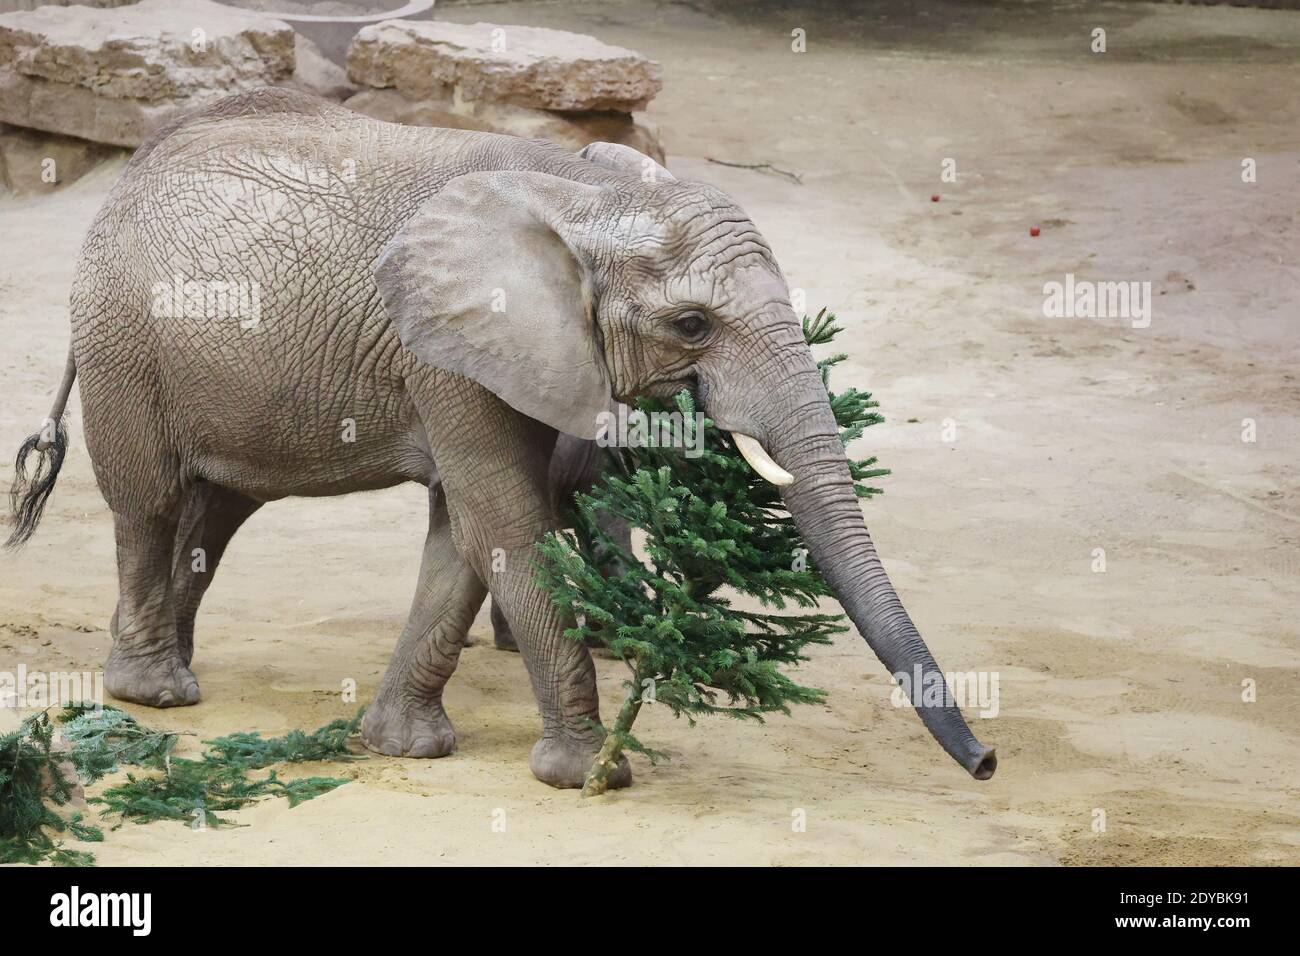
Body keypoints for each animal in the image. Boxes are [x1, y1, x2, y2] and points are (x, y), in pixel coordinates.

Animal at [6, 88, 995, 788]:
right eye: (692, 326)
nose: (986, 763)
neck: (584, 192)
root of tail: (130, 171)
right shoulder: (448, 346)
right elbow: (505, 520)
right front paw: (592, 773)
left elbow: (467, 533)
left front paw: (403, 748)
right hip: (122, 334)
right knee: (150, 499)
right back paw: (155, 691)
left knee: (218, 508)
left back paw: (169, 663)